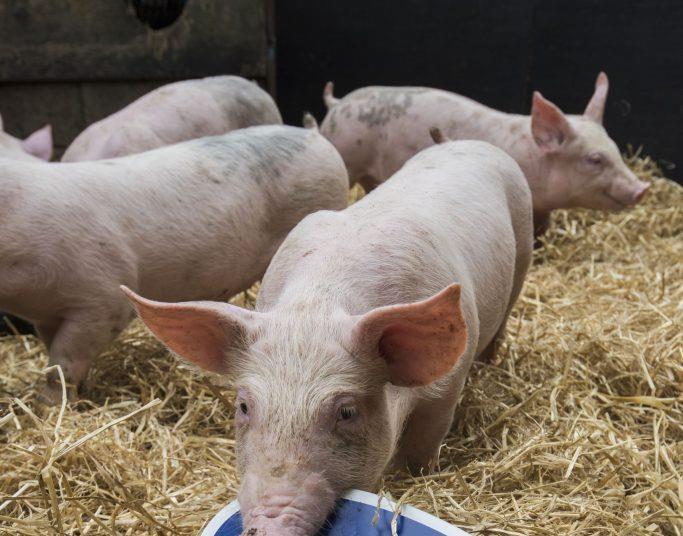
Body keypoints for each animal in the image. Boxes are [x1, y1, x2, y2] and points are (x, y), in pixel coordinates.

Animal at [0, 125, 348, 402]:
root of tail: (316, 138)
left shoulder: (103, 298)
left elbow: (63, 363)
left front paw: (49, 407)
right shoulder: (47, 315)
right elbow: (55, 354)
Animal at [123, 138, 533, 536]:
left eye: (346, 411)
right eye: (243, 406)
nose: (270, 525)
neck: (317, 304)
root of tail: (475, 143)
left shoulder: (446, 389)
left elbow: (421, 447)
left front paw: (413, 476)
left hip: (523, 252)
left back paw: (490, 360)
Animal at [320, 72, 650, 234]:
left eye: (615, 149)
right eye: (594, 159)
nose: (642, 188)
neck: (532, 158)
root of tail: (336, 103)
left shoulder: (543, 208)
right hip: (346, 152)